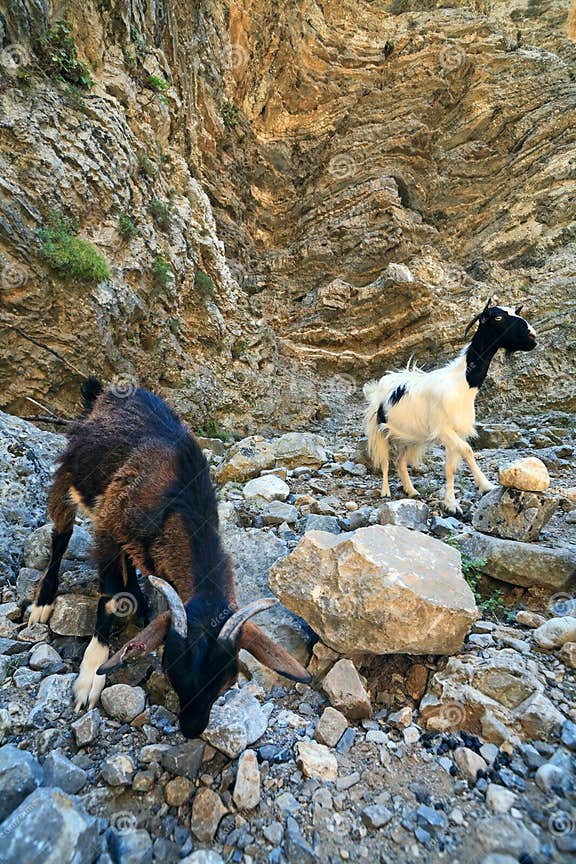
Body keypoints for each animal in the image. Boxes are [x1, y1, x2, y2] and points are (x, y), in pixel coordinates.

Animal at [29, 379, 311, 738]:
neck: (178, 500)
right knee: (61, 536)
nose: (192, 729)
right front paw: (91, 676)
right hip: (68, 478)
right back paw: (43, 601)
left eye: (226, 681)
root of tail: (106, 393)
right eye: (172, 672)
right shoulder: (107, 528)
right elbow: (109, 595)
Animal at [364, 299, 537, 513]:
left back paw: (411, 491)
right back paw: (385, 492)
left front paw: (451, 502)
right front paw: (484, 485)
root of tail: (381, 384)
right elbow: (467, 450)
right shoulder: (444, 429)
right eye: (498, 317)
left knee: (400, 461)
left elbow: (451, 468)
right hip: (381, 431)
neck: (462, 383)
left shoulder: (455, 432)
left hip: (410, 438)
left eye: (515, 312)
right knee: (386, 461)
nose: (532, 336)